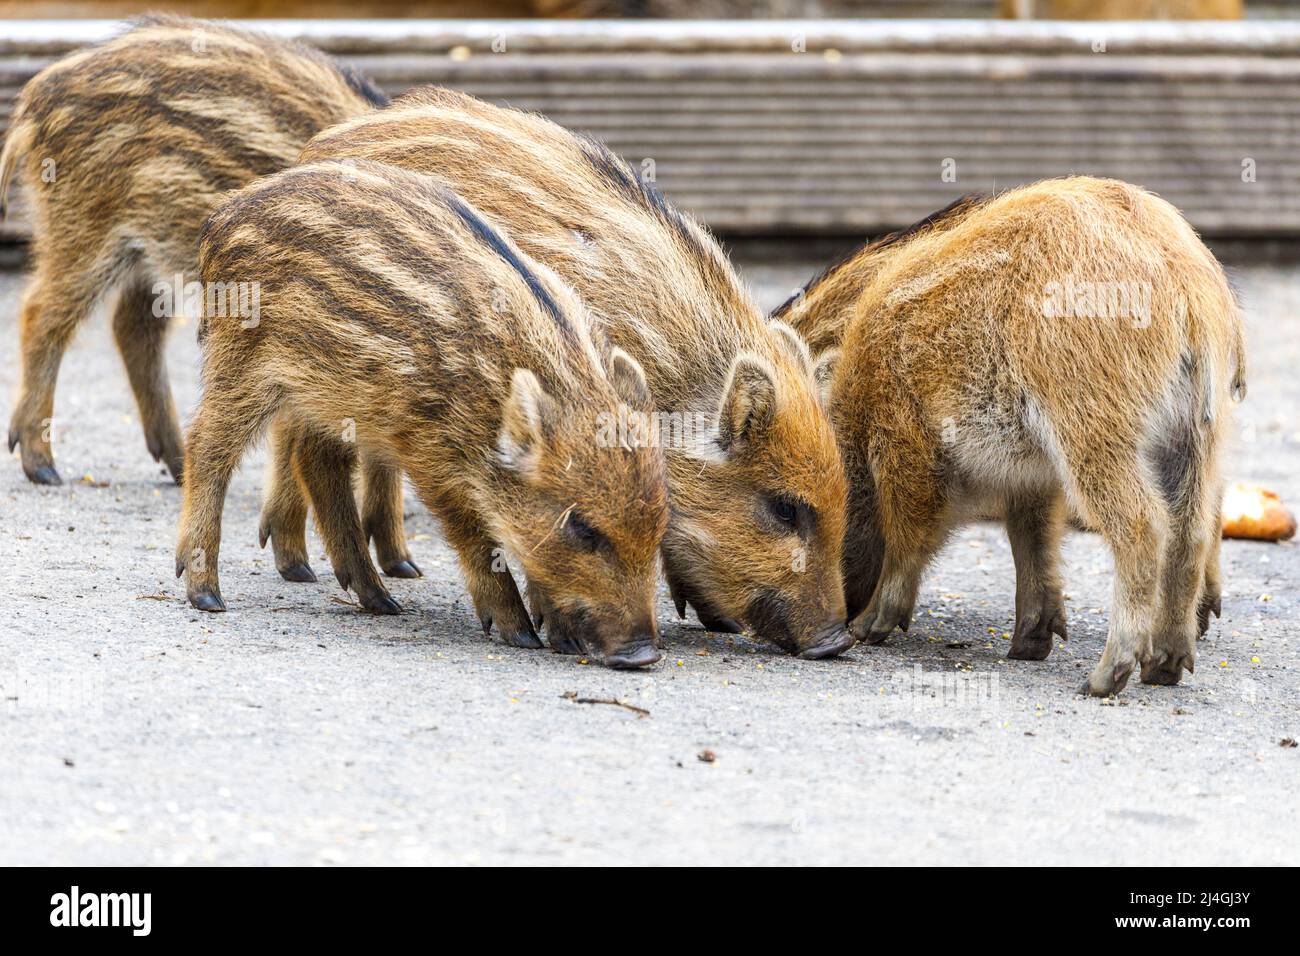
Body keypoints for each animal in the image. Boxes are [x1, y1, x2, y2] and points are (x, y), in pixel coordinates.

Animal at [0, 14, 387, 485]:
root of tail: (34, 99)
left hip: (147, 247)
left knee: (132, 326)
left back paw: (177, 462)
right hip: (86, 223)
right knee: (41, 313)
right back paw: (42, 466)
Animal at [177, 158, 669, 668]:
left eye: (661, 522)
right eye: (582, 527)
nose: (643, 654)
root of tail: (221, 217)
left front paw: (563, 638)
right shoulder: (429, 452)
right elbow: (475, 535)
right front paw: (519, 633)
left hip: (327, 392)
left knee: (317, 463)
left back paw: (380, 600)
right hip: (244, 359)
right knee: (208, 444)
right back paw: (207, 594)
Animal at [258, 86, 855, 659]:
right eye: (784, 508)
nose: (836, 642)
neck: (667, 368)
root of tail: (316, 149)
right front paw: (549, 633)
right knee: (315, 453)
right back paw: (358, 590)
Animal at [778, 177, 1245, 695]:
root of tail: (1185, 282)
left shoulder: (906, 441)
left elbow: (909, 533)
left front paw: (869, 629)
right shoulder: (1031, 474)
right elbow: (1031, 534)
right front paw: (1029, 644)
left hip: (1092, 427)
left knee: (1144, 523)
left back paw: (1104, 678)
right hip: (1196, 435)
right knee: (1192, 528)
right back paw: (1164, 667)